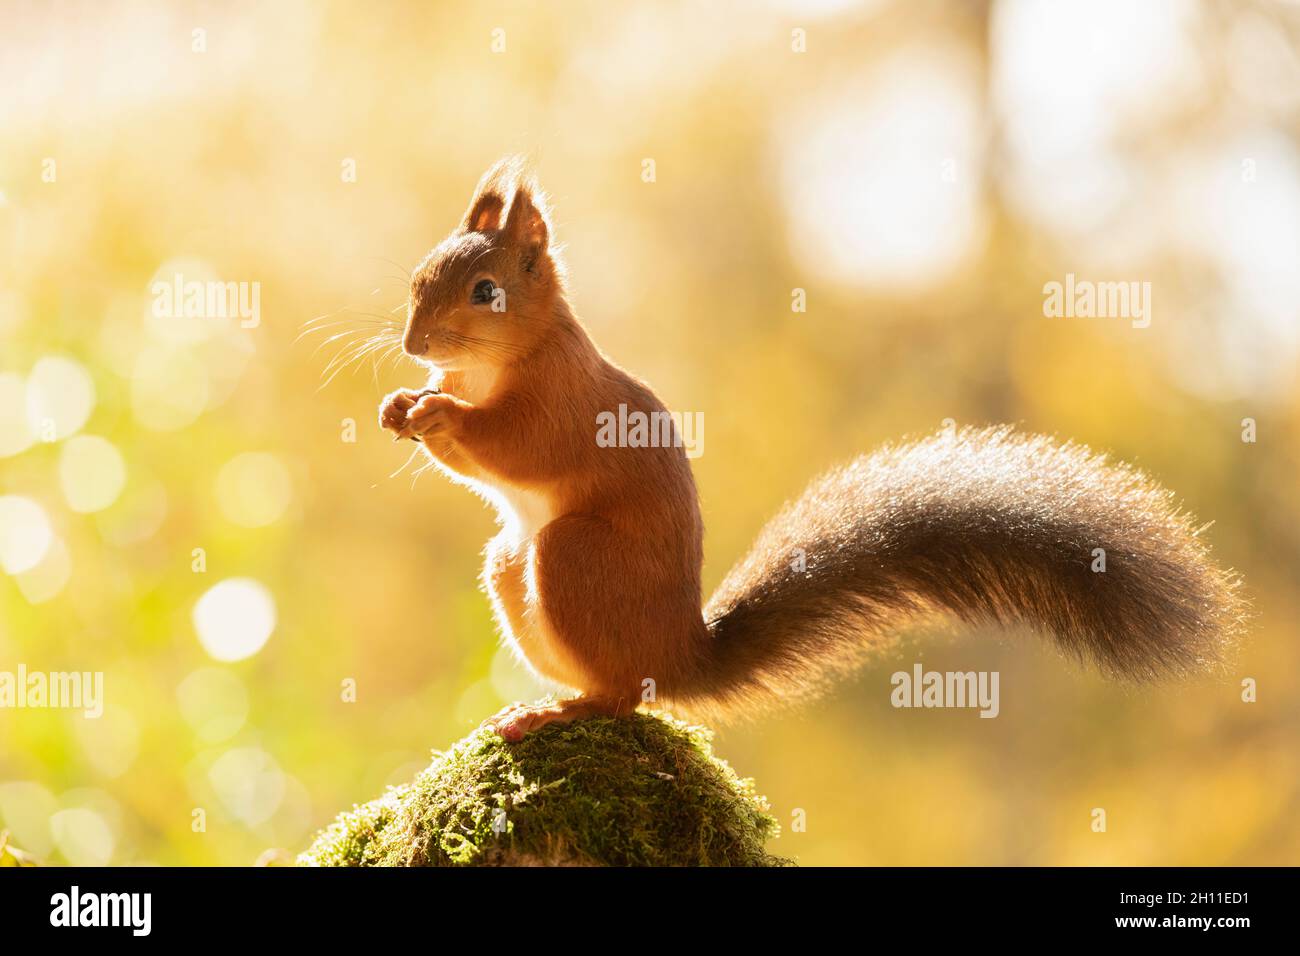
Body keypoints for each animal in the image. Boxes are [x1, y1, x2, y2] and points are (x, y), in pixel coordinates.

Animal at [379, 157, 1245, 741]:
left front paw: (441, 414)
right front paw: (401, 405)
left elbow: (515, 445)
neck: (492, 367)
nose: (414, 344)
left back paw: (562, 709)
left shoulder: (562, 401)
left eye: (486, 292)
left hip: (573, 559)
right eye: (419, 275)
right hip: (511, 564)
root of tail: (681, 654)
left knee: (624, 695)